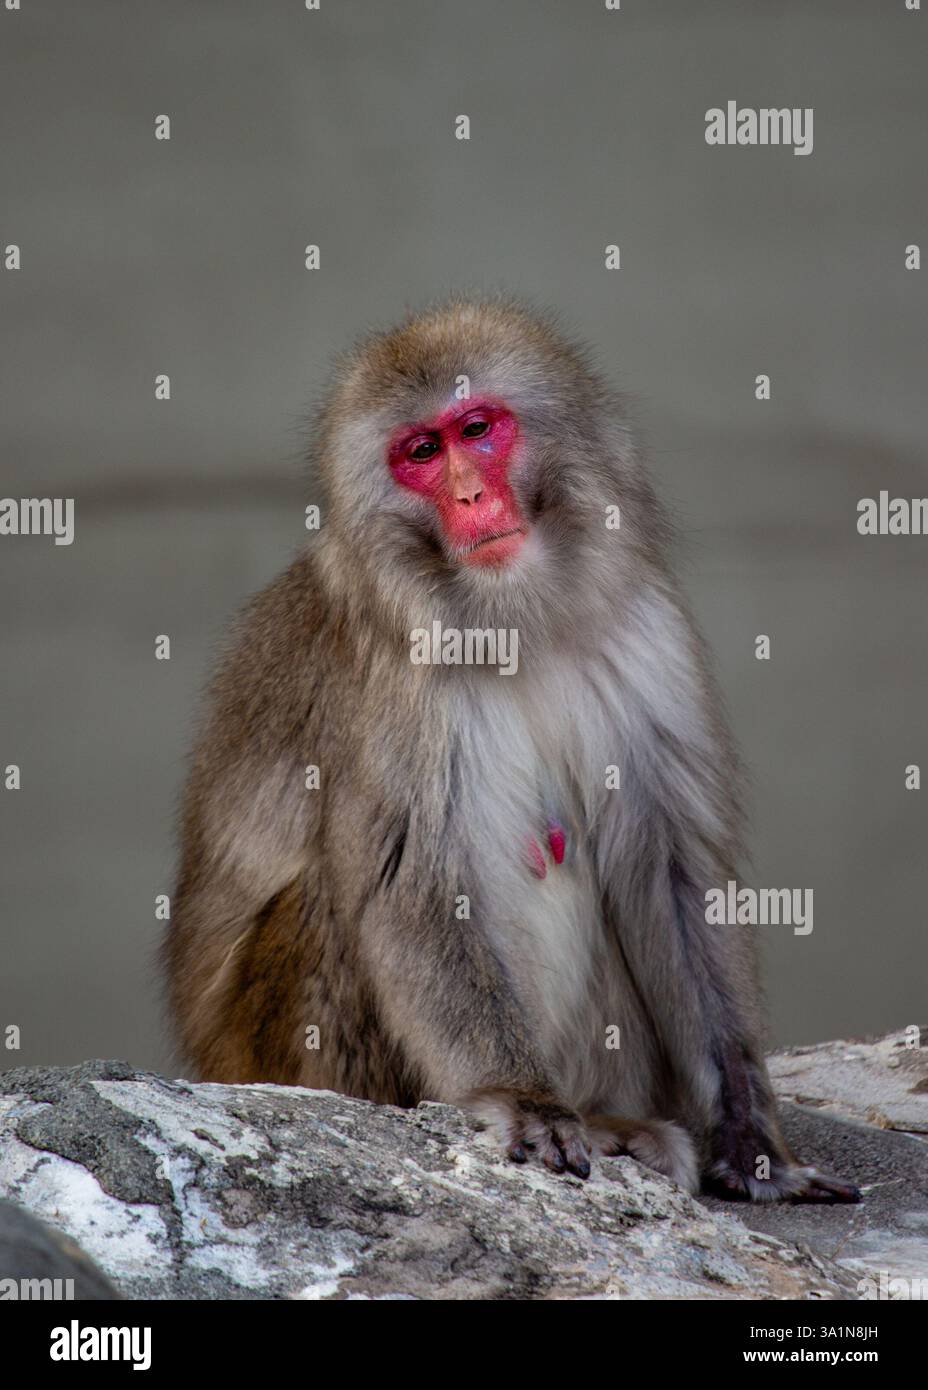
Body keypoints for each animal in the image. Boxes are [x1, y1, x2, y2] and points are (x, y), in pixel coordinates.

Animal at [163, 296, 860, 1204]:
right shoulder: (397, 681)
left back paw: (613, 1119)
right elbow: (410, 888)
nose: (467, 494)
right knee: (331, 897)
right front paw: (524, 1102)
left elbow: (674, 870)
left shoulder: (647, 631)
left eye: (477, 428)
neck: (513, 622)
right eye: (421, 454)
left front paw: (751, 1135)